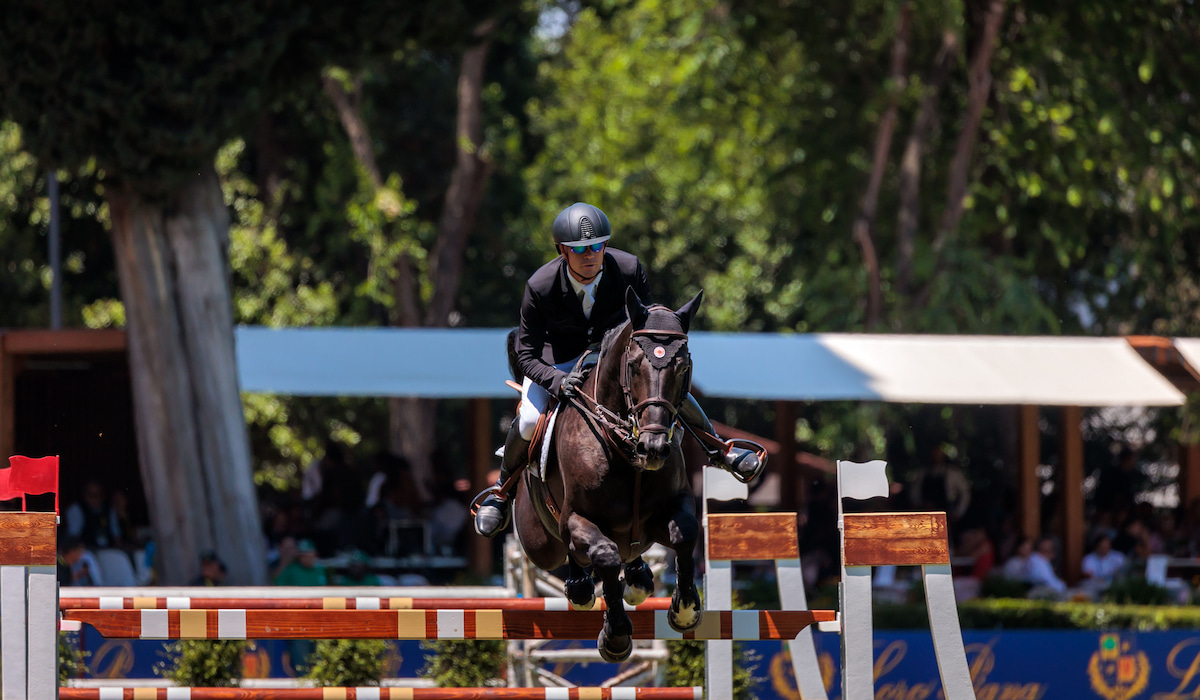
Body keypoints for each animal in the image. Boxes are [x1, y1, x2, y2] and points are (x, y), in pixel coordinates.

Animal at [513, 287, 704, 663]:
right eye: (633, 365)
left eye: (683, 366)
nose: (653, 448)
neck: (625, 451)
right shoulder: (577, 518)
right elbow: (605, 555)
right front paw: (615, 636)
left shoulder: (672, 506)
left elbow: (685, 532)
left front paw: (685, 609)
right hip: (539, 544)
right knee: (568, 551)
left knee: (630, 560)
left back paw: (637, 577)